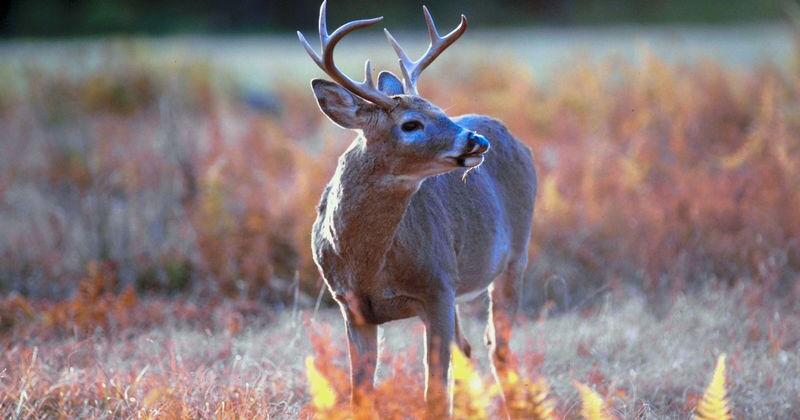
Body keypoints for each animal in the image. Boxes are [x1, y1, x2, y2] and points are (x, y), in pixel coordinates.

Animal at [298, 1, 537, 415]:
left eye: (440, 110)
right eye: (411, 124)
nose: (476, 140)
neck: (367, 265)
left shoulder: (436, 286)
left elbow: (434, 393)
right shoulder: (351, 305)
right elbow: (361, 393)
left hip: (513, 256)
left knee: (497, 346)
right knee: (470, 348)